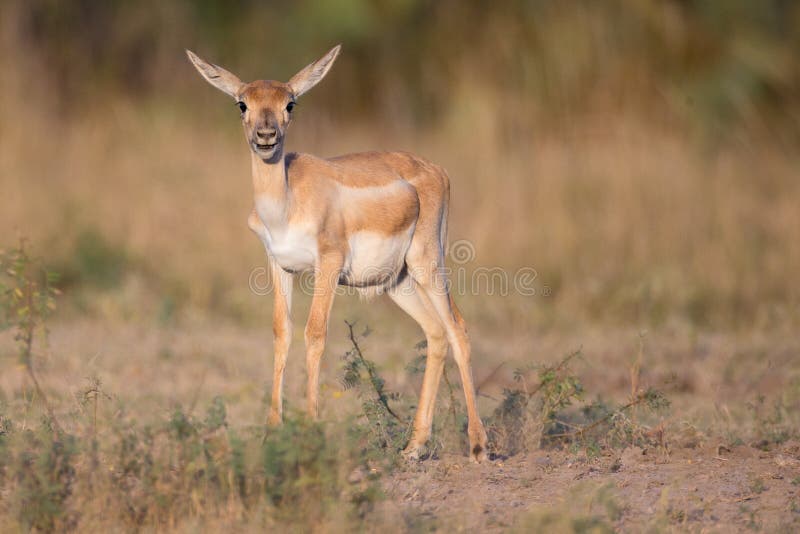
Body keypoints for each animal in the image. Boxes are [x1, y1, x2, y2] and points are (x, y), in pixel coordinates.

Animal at [186, 45, 488, 462]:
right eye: (242, 103)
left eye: (290, 103)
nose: (266, 137)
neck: (286, 202)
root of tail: (437, 170)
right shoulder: (279, 267)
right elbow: (282, 332)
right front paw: (272, 431)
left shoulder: (327, 264)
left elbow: (315, 334)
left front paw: (311, 429)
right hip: (398, 281)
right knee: (436, 333)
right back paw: (413, 447)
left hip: (427, 262)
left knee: (457, 328)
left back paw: (478, 446)